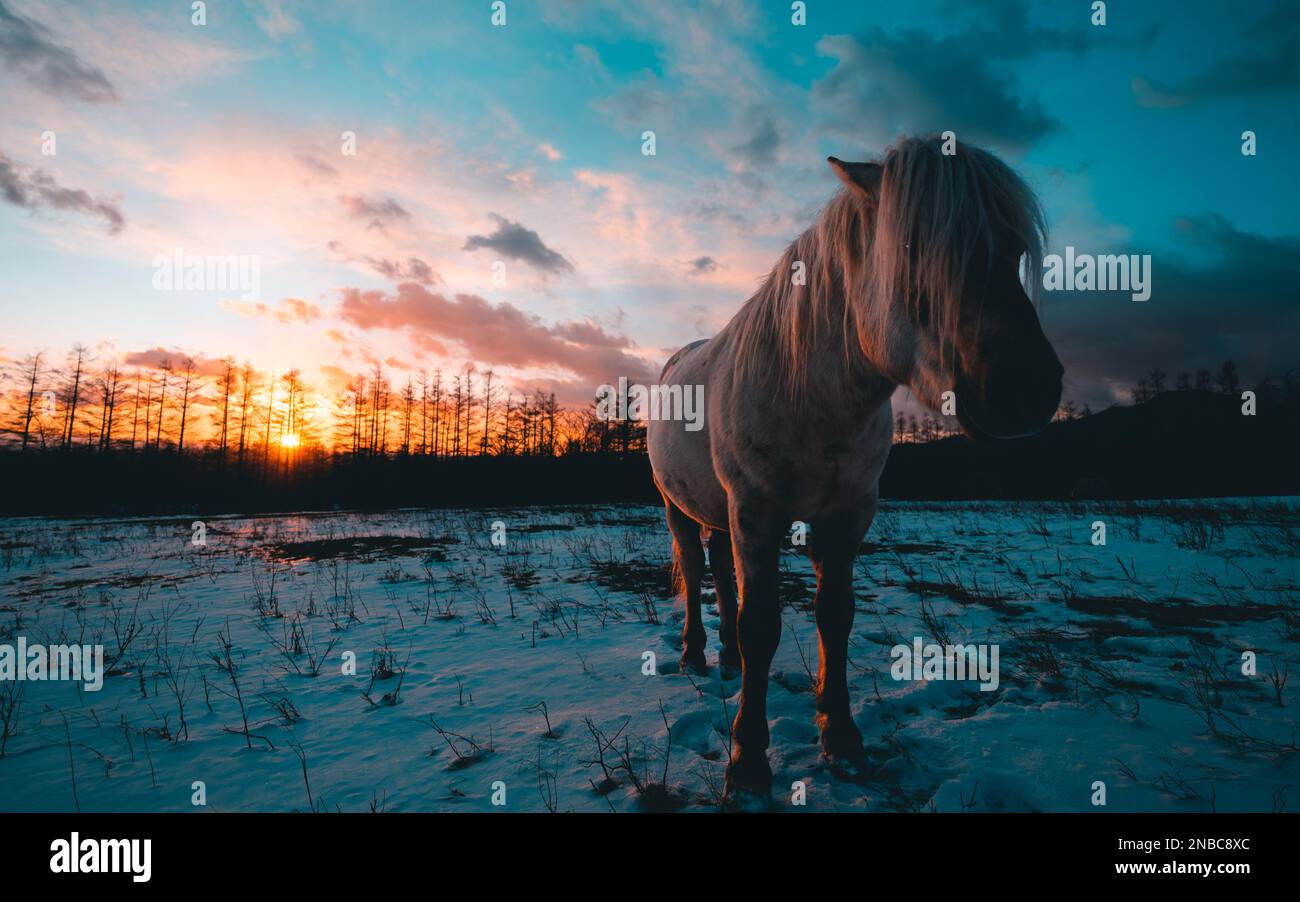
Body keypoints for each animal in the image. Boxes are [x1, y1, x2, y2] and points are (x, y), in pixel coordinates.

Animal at [646, 134, 1064, 798]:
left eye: (1015, 248)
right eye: (914, 246)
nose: (1029, 388)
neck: (810, 393)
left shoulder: (848, 514)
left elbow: (833, 618)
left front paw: (840, 737)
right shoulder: (756, 512)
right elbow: (762, 625)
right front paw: (748, 760)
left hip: (718, 510)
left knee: (720, 571)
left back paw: (729, 662)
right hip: (677, 507)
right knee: (692, 566)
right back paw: (694, 655)